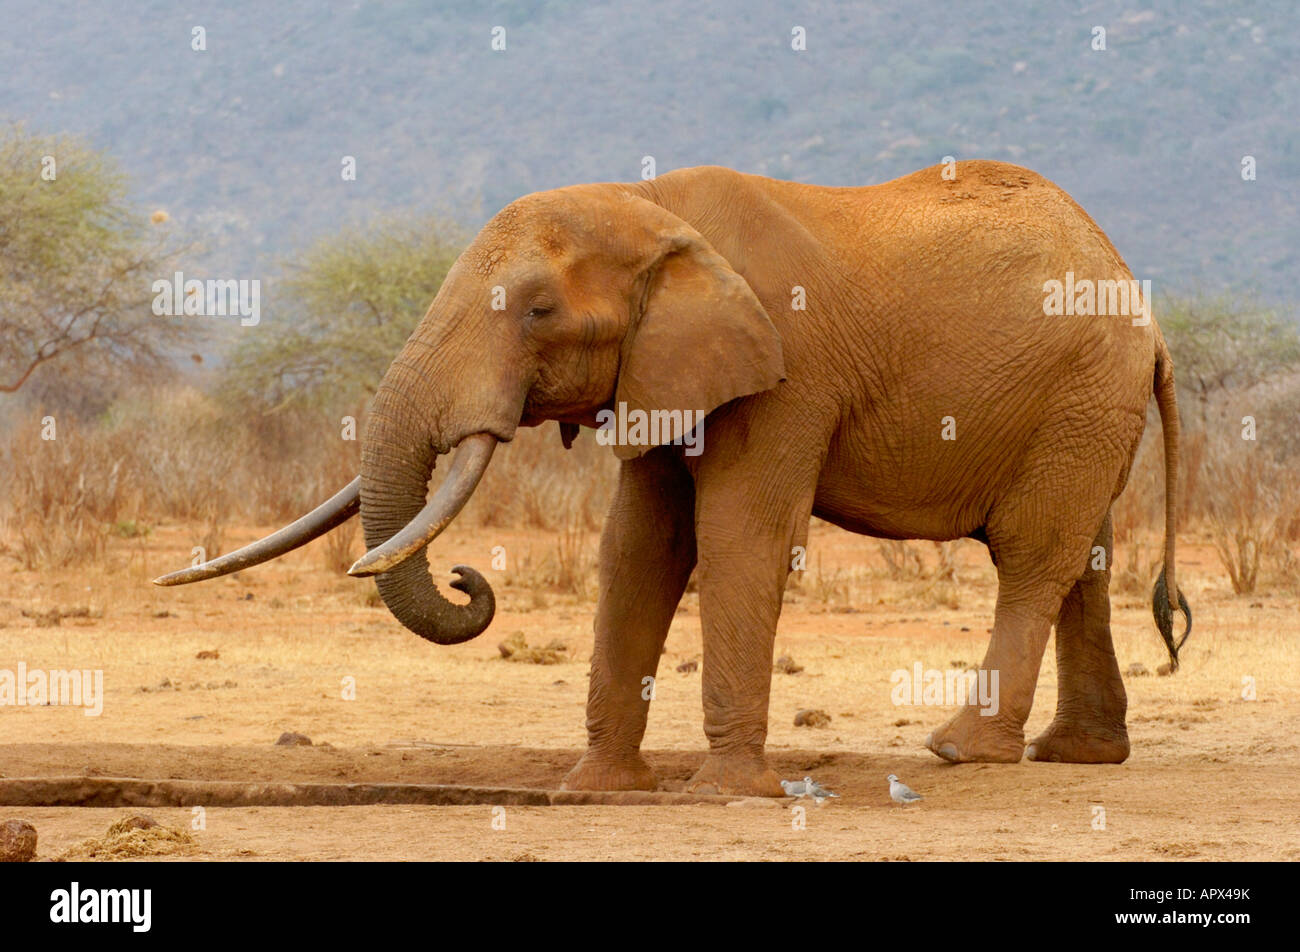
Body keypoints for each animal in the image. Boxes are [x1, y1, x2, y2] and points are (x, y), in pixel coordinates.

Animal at [157, 160, 1191, 797]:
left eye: (538, 311)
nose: (466, 578)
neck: (646, 200)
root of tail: (1144, 311)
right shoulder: (663, 369)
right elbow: (642, 545)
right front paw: (597, 791)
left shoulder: (787, 368)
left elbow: (738, 535)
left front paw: (729, 793)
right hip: (1084, 407)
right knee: (1085, 560)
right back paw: (1078, 756)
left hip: (1081, 392)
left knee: (1034, 556)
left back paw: (957, 753)